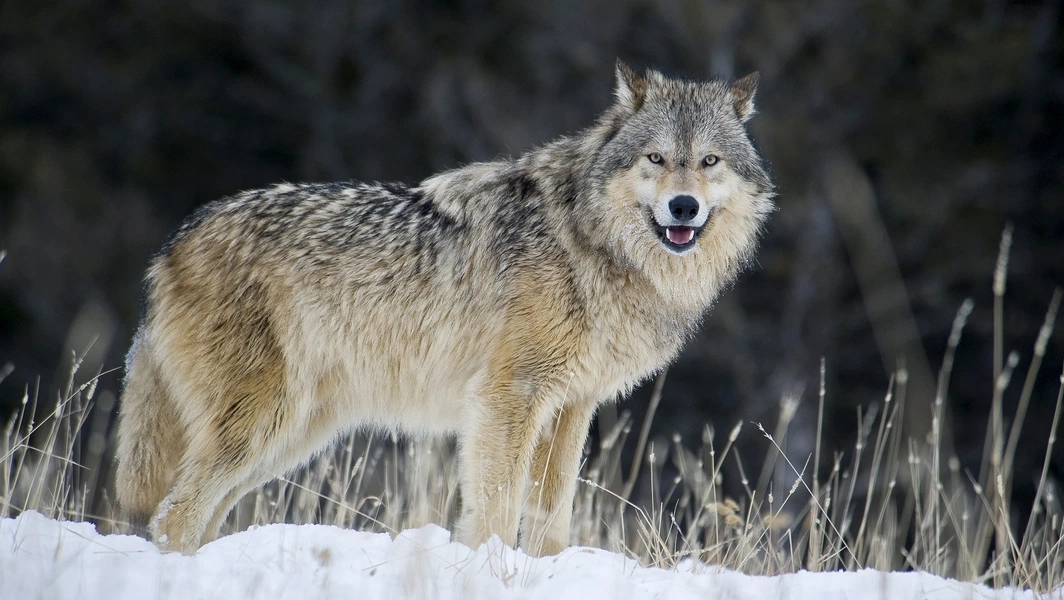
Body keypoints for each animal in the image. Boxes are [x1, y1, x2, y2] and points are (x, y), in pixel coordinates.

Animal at [114, 61, 775, 556]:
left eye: (709, 161)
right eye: (657, 159)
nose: (684, 207)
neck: (589, 243)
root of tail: (172, 244)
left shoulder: (571, 407)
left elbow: (551, 516)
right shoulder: (508, 397)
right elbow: (496, 508)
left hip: (291, 435)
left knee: (195, 516)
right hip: (263, 424)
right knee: (173, 515)